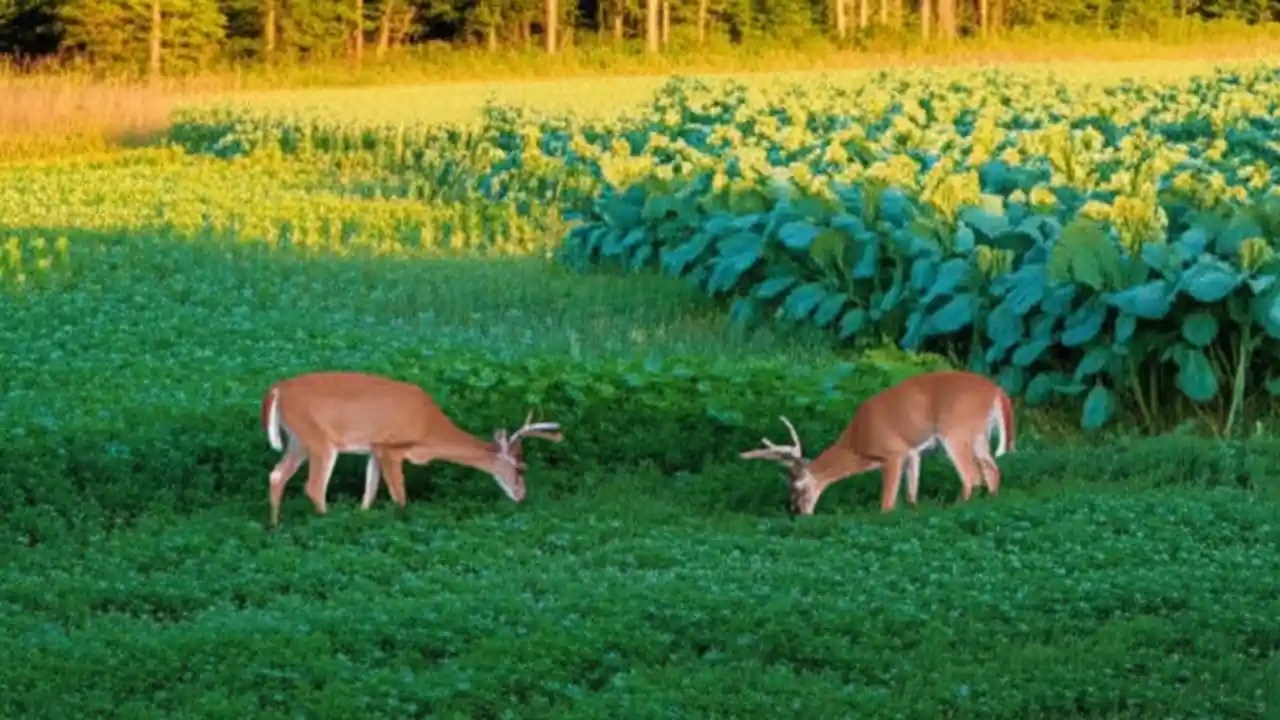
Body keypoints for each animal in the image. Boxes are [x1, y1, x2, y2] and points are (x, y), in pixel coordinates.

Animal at [259, 371, 564, 527]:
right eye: (520, 467)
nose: (521, 496)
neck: (429, 429)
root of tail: (277, 389)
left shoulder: (375, 447)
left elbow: (369, 492)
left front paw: (363, 517)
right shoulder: (392, 446)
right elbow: (400, 497)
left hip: (297, 440)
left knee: (276, 475)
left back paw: (274, 526)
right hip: (319, 440)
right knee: (314, 487)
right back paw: (329, 522)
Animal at [740, 370, 1014, 517]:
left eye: (798, 488)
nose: (796, 512)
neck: (858, 443)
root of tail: (997, 391)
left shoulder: (893, 453)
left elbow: (887, 503)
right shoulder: (912, 452)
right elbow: (911, 493)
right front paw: (914, 511)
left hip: (956, 432)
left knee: (971, 475)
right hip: (979, 435)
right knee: (993, 470)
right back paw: (991, 503)